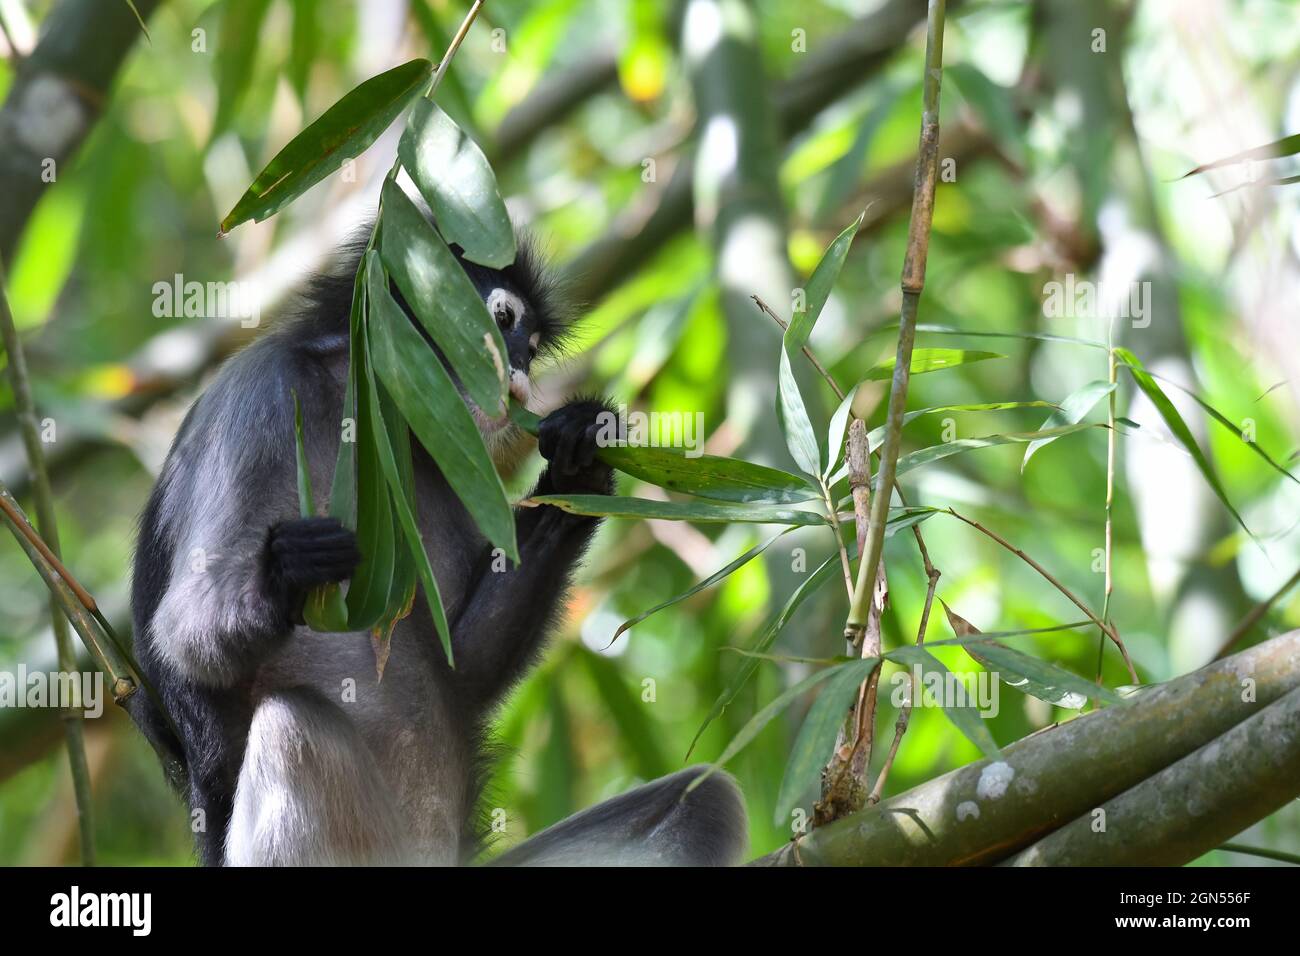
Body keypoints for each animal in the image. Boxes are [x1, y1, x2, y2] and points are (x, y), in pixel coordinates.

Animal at [128, 205, 747, 867]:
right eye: (502, 319)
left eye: (531, 348)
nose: (517, 369)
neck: (366, 411)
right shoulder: (257, 395)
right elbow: (185, 631)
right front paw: (295, 569)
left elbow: (466, 661)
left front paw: (580, 459)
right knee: (296, 733)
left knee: (707, 797)